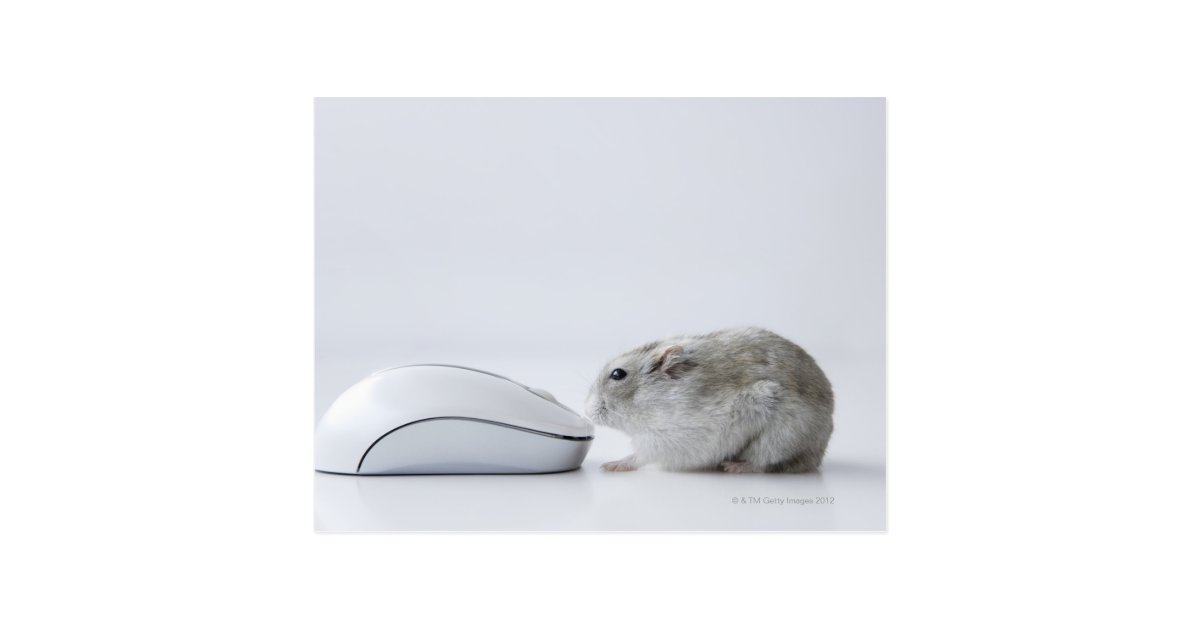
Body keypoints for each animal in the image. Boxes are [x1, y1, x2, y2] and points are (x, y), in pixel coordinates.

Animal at [584, 327, 834, 473]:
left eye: (618, 374)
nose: (587, 411)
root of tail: (818, 455)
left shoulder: (667, 440)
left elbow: (639, 456)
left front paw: (611, 465)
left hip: (780, 436)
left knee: (763, 461)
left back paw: (733, 466)